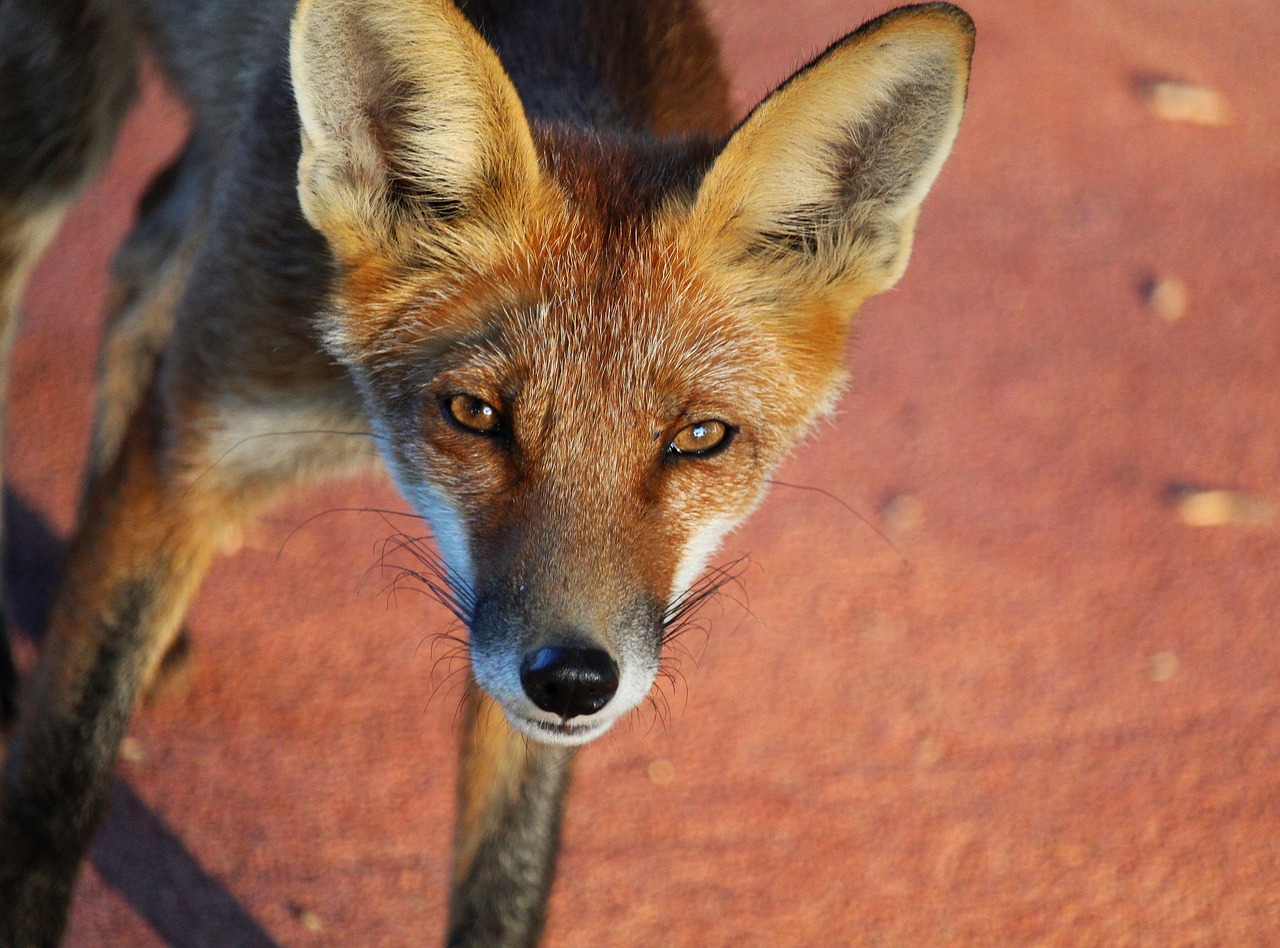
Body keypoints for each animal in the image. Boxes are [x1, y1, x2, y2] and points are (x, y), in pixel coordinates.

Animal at [0, 0, 974, 943]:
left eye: (700, 437)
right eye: (475, 414)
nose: (574, 683)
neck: (359, 410)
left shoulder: (542, 634)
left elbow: (508, 871)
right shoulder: (199, 442)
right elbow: (58, 786)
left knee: (148, 246)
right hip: (54, 130)